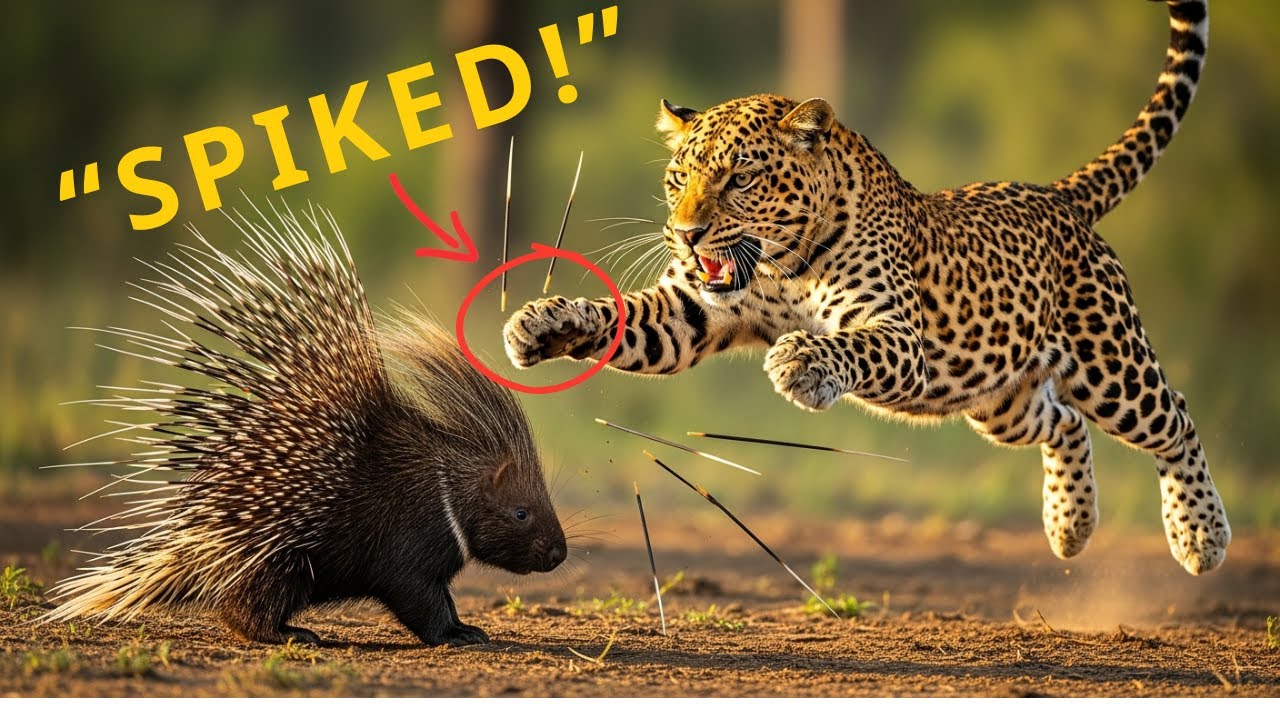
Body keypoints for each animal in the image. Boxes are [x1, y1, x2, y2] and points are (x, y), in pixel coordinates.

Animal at [504, 0, 1229, 575]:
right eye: (679, 177)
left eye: (740, 178)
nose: (685, 233)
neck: (780, 264)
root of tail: (1058, 195)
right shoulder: (686, 314)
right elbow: (618, 317)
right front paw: (542, 321)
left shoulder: (900, 338)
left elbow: (851, 346)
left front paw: (802, 362)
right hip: (998, 394)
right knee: (1066, 422)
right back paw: (1070, 527)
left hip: (1111, 368)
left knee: (1175, 418)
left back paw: (1200, 536)